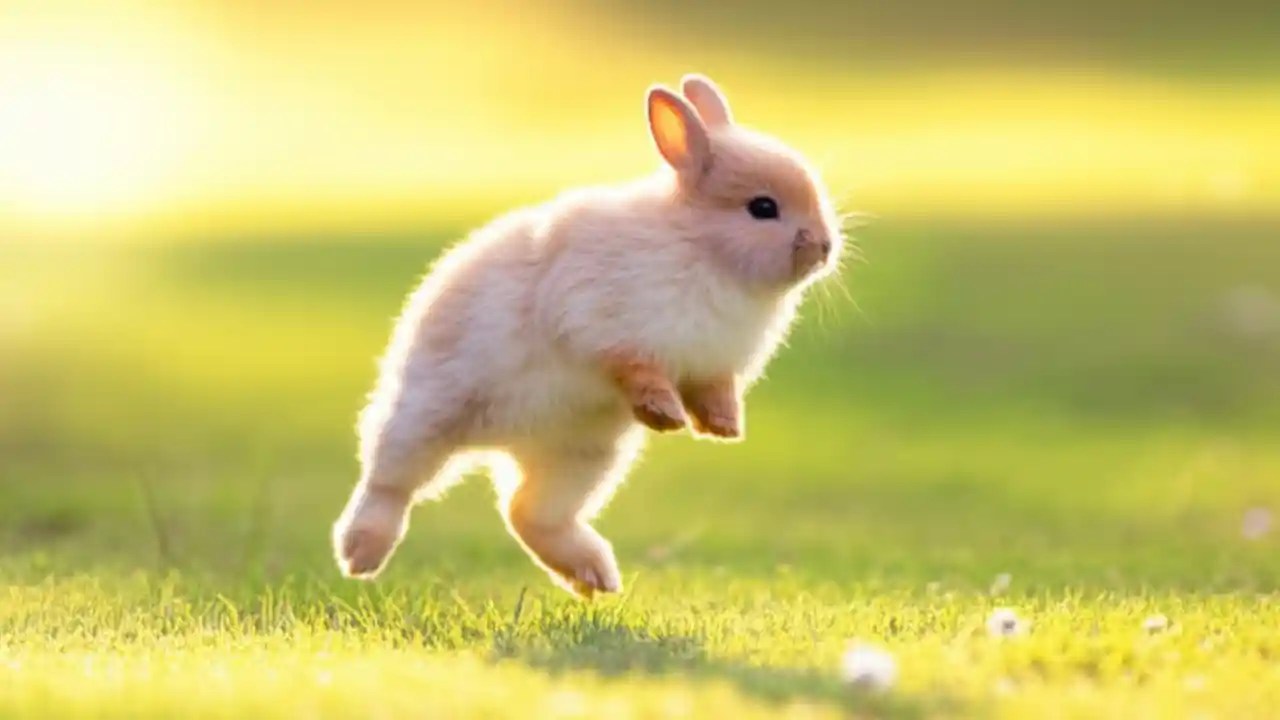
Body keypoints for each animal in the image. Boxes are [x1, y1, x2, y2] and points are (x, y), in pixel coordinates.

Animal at [332, 73, 844, 597]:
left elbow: (714, 391)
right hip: (428, 417)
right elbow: (635, 368)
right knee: (389, 485)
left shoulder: (712, 366)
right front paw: (665, 413)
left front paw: (723, 427)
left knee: (526, 512)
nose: (824, 247)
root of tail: (505, 442)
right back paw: (361, 555)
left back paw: (594, 576)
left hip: (581, 458)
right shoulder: (604, 323)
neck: (700, 246)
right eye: (762, 208)